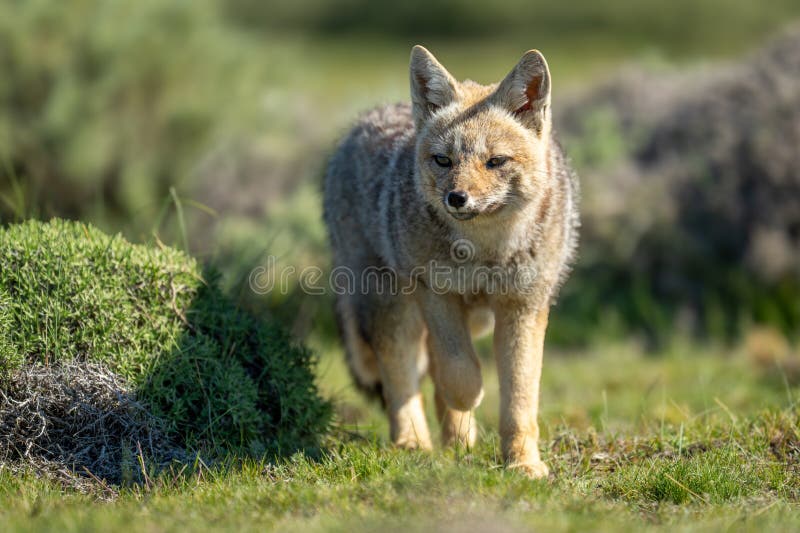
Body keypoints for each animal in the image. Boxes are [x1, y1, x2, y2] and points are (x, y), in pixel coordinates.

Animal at [323, 45, 579, 478]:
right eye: (444, 161)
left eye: (495, 162)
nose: (456, 198)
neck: (486, 254)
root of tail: (363, 122)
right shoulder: (436, 293)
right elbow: (460, 372)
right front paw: (466, 402)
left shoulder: (524, 307)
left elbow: (520, 399)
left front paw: (523, 462)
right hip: (393, 306)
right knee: (402, 374)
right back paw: (414, 441)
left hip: (474, 319)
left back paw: (457, 440)